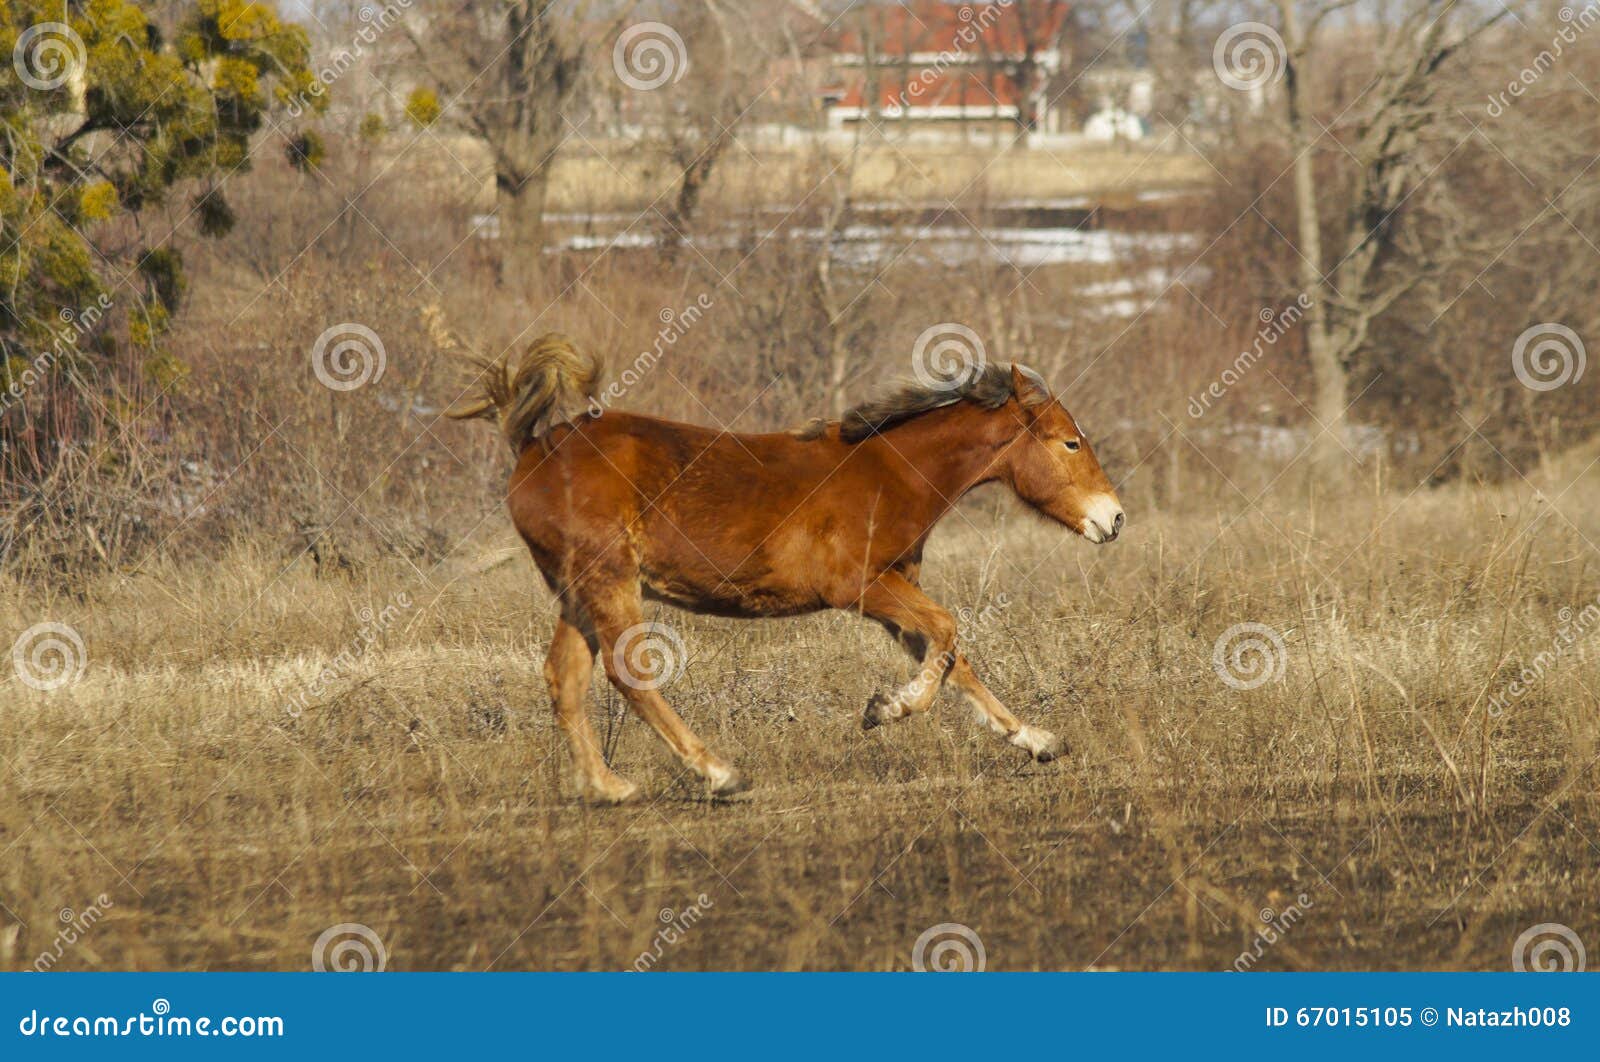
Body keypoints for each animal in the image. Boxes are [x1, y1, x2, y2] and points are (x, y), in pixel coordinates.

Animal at [448, 333, 1124, 803]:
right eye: (1069, 442)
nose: (1113, 518)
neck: (889, 472)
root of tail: (533, 448)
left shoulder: (896, 592)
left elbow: (954, 659)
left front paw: (1038, 741)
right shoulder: (861, 587)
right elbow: (949, 632)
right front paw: (885, 709)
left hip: (578, 592)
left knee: (565, 678)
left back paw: (607, 788)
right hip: (608, 581)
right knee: (625, 674)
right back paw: (718, 773)